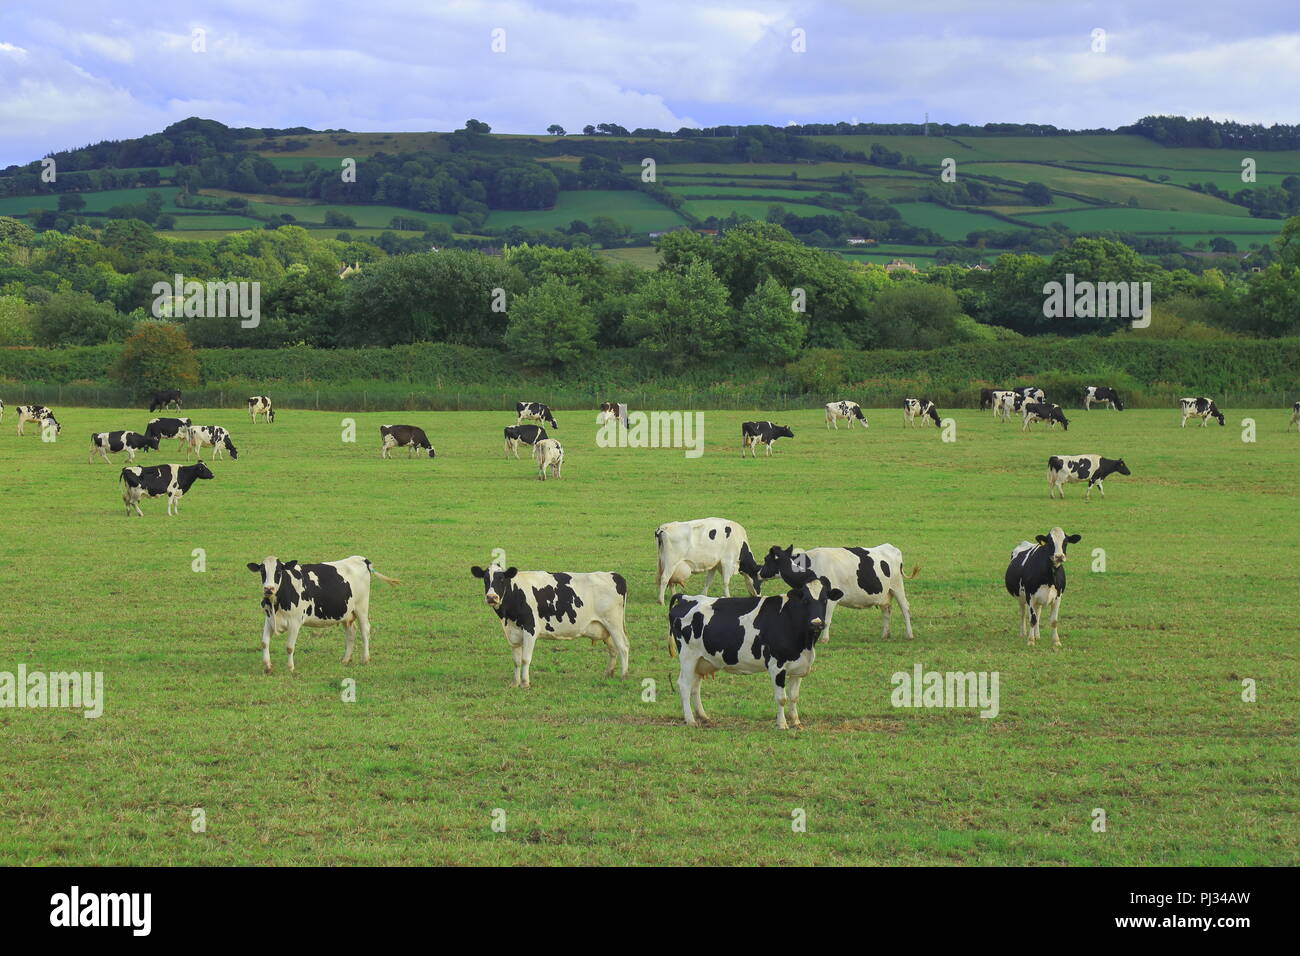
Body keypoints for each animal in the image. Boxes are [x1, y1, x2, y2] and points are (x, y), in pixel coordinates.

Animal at [247, 555, 400, 674]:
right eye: (262, 571)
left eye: (278, 571)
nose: (268, 589)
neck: (276, 604)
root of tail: (361, 559)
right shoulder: (269, 619)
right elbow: (264, 643)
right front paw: (267, 667)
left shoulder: (295, 622)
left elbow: (290, 647)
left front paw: (290, 668)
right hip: (346, 612)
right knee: (351, 632)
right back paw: (345, 659)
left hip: (361, 606)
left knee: (365, 630)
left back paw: (365, 659)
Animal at [469, 559, 629, 688]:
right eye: (485, 579)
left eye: (502, 579)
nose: (491, 597)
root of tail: (614, 575)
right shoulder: (512, 633)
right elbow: (516, 660)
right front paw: (514, 683)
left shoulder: (530, 629)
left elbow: (525, 659)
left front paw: (525, 683)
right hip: (605, 629)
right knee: (613, 650)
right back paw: (608, 674)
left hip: (614, 623)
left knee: (623, 647)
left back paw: (623, 676)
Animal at [668, 568, 843, 729]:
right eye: (805, 600)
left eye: (825, 600)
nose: (816, 623)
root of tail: (685, 597)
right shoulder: (777, 666)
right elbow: (782, 698)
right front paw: (782, 724)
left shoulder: (798, 666)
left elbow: (794, 696)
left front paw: (796, 722)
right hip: (688, 657)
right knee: (684, 685)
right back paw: (690, 720)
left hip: (702, 660)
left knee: (695, 686)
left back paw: (703, 716)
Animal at [757, 543, 917, 643]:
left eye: (766, 559)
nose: (758, 573)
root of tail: (890, 547)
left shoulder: (829, 599)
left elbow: (826, 619)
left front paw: (824, 639)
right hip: (884, 594)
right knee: (886, 611)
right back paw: (885, 635)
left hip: (897, 586)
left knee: (905, 608)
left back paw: (909, 635)